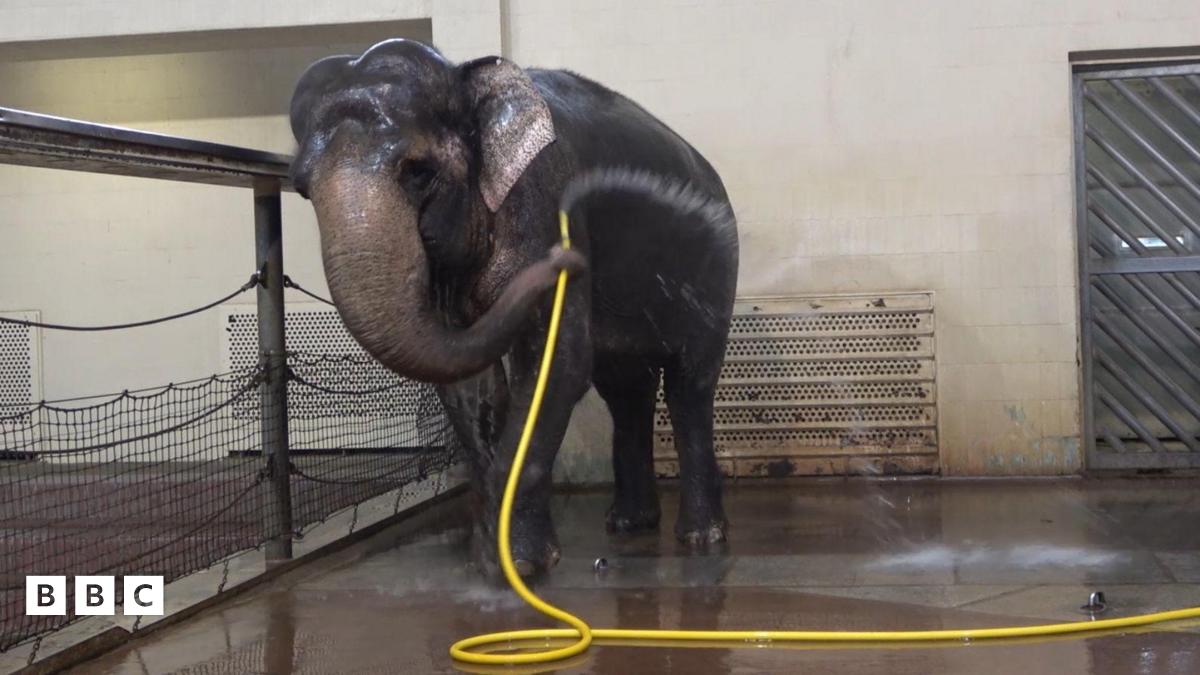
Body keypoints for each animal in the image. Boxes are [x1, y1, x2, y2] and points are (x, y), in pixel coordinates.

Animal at [289, 39, 739, 578]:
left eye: (419, 172)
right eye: (301, 189)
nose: (571, 258)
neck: (464, 73)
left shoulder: (545, 197)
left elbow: (557, 363)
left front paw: (519, 565)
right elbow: (470, 383)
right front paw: (489, 563)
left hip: (715, 267)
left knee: (689, 382)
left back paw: (701, 537)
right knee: (624, 387)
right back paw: (630, 525)